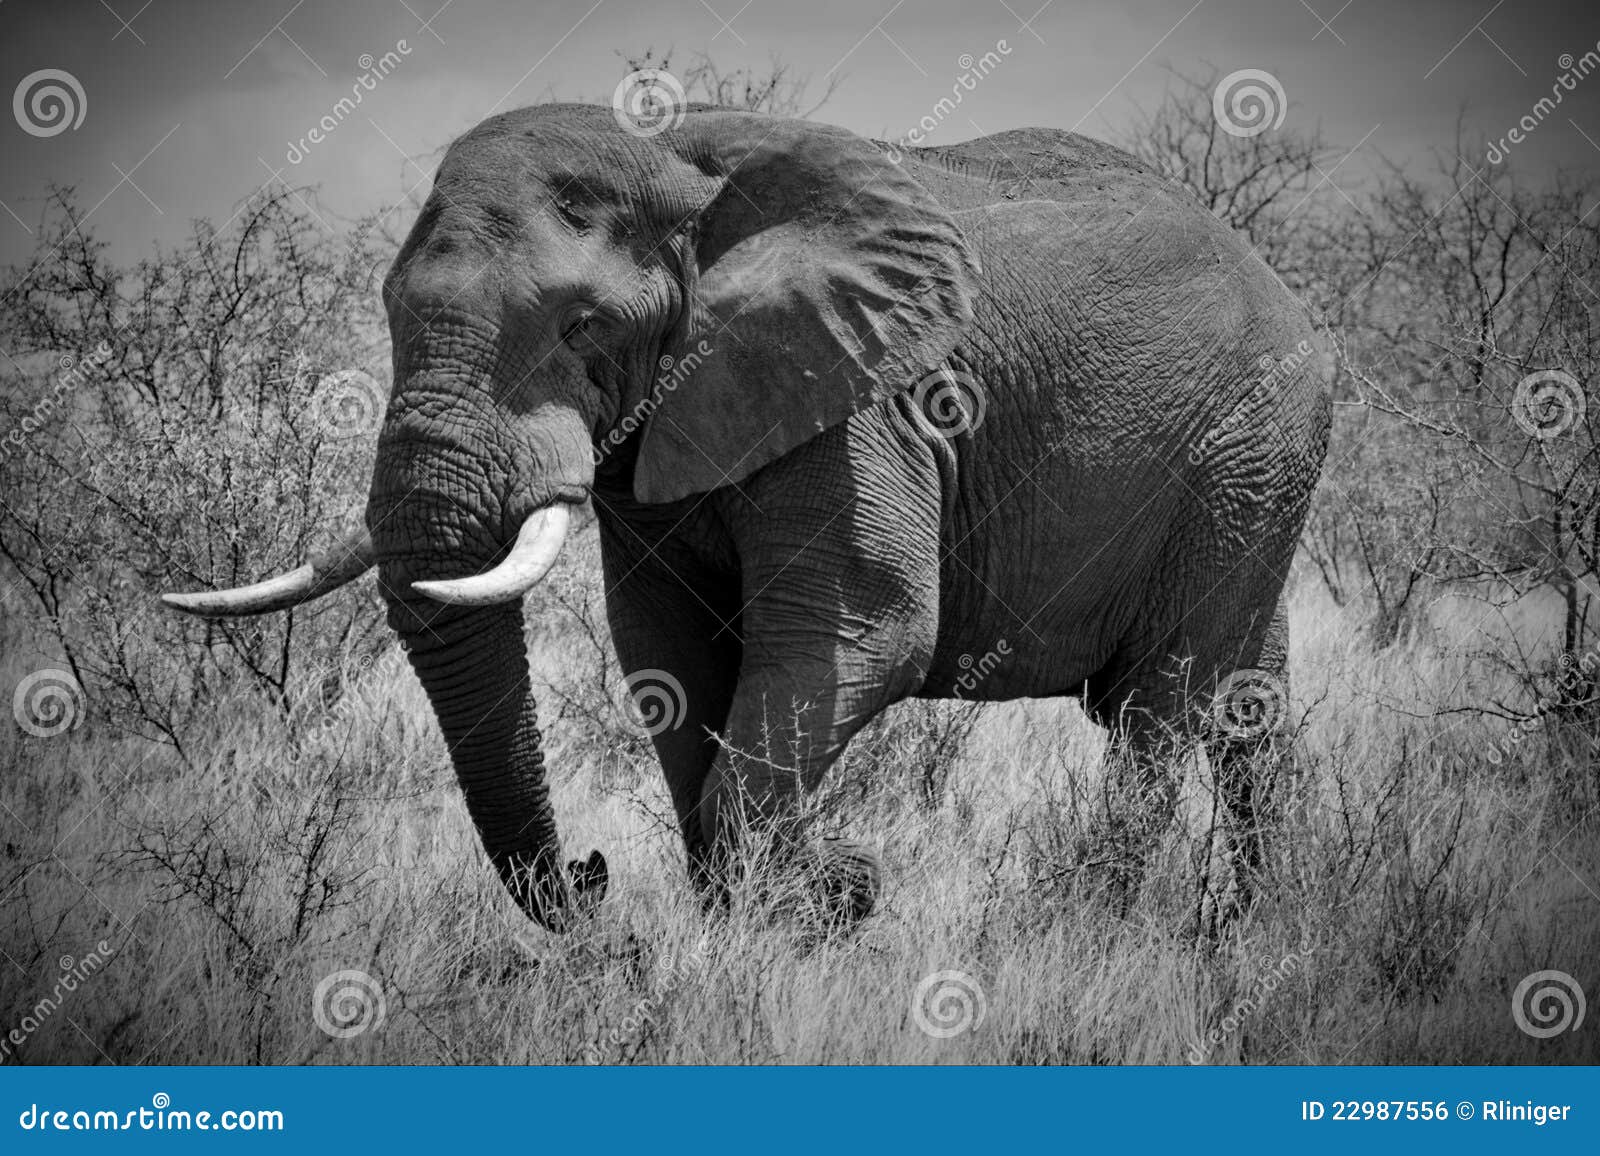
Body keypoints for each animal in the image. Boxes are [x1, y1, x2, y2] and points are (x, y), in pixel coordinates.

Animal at [162, 104, 1332, 932]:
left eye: (581, 328)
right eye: (390, 315)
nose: (590, 872)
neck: (676, 160)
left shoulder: (860, 402)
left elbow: (860, 630)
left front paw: (808, 909)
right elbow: (670, 654)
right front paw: (785, 914)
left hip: (1246, 455)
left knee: (1155, 710)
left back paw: (1097, 932)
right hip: (1251, 484)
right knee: (1247, 702)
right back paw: (1247, 936)